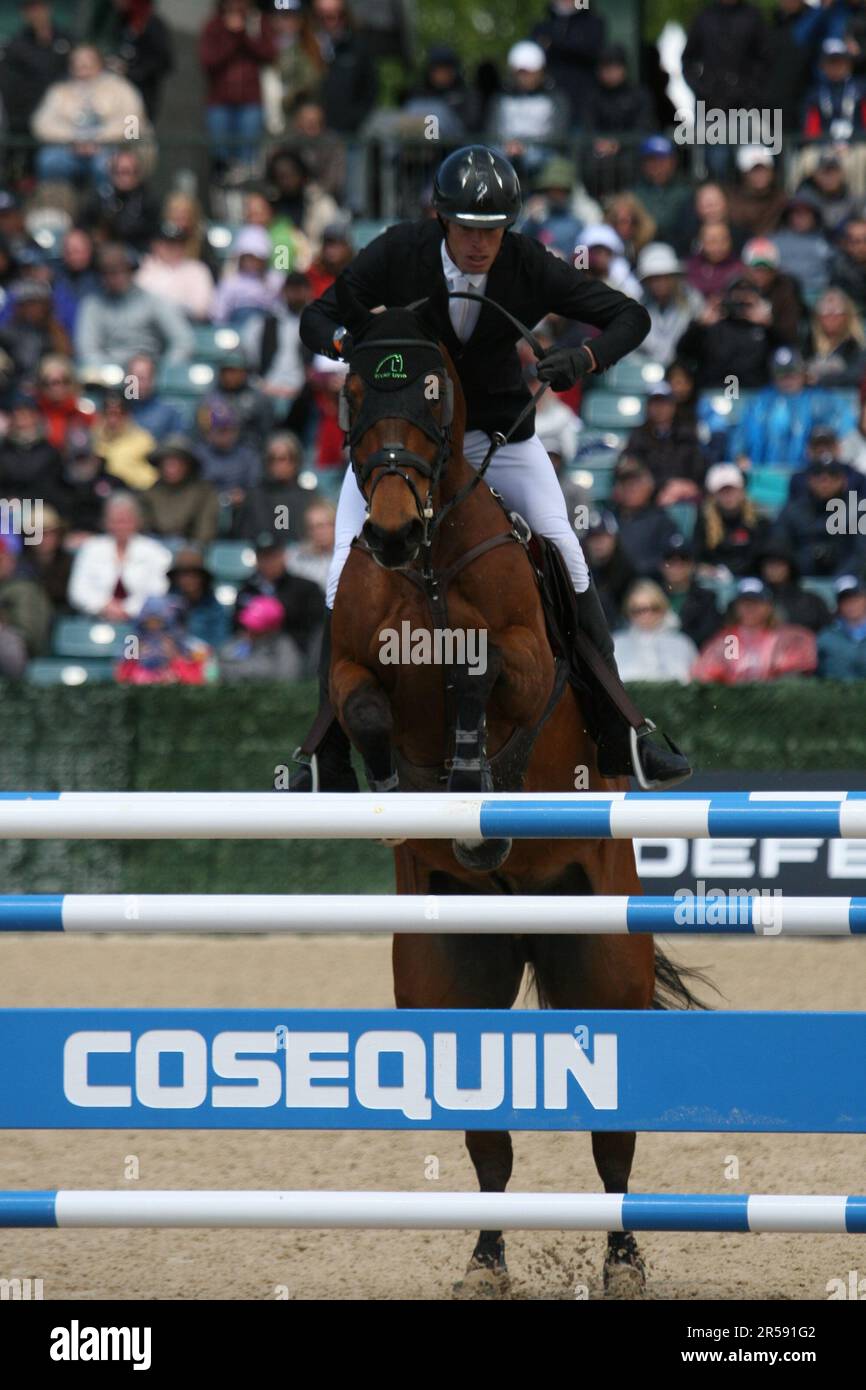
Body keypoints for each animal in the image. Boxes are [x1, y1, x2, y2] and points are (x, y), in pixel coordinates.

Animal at [327, 285, 704, 1297]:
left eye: (433, 395)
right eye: (351, 394)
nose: (387, 531)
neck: (428, 564)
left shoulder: (529, 665)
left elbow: (483, 669)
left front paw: (472, 782)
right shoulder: (349, 668)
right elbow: (368, 711)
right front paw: (407, 790)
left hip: (602, 958)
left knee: (613, 1141)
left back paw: (622, 1263)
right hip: (449, 971)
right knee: (487, 1142)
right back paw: (487, 1262)